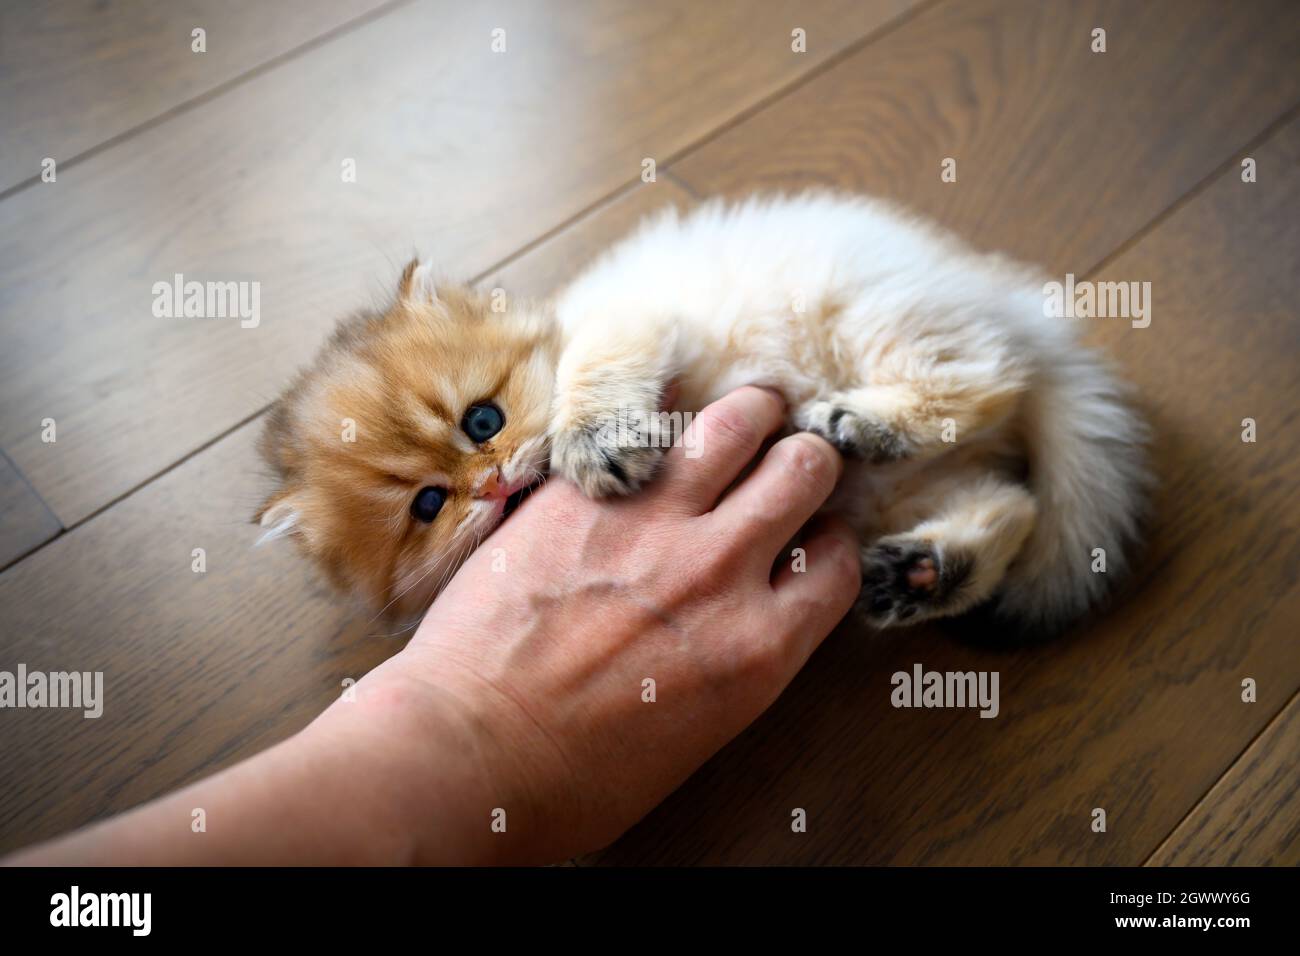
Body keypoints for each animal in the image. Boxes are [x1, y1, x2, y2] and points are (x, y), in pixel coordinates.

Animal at [258, 191, 1154, 632]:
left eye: (483, 420)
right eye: (428, 506)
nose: (491, 486)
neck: (554, 319)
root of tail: (1014, 306)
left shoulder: (635, 319)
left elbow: (592, 377)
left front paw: (596, 444)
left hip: (877, 319)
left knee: (985, 381)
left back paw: (864, 423)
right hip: (892, 494)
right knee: (1008, 503)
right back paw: (920, 574)